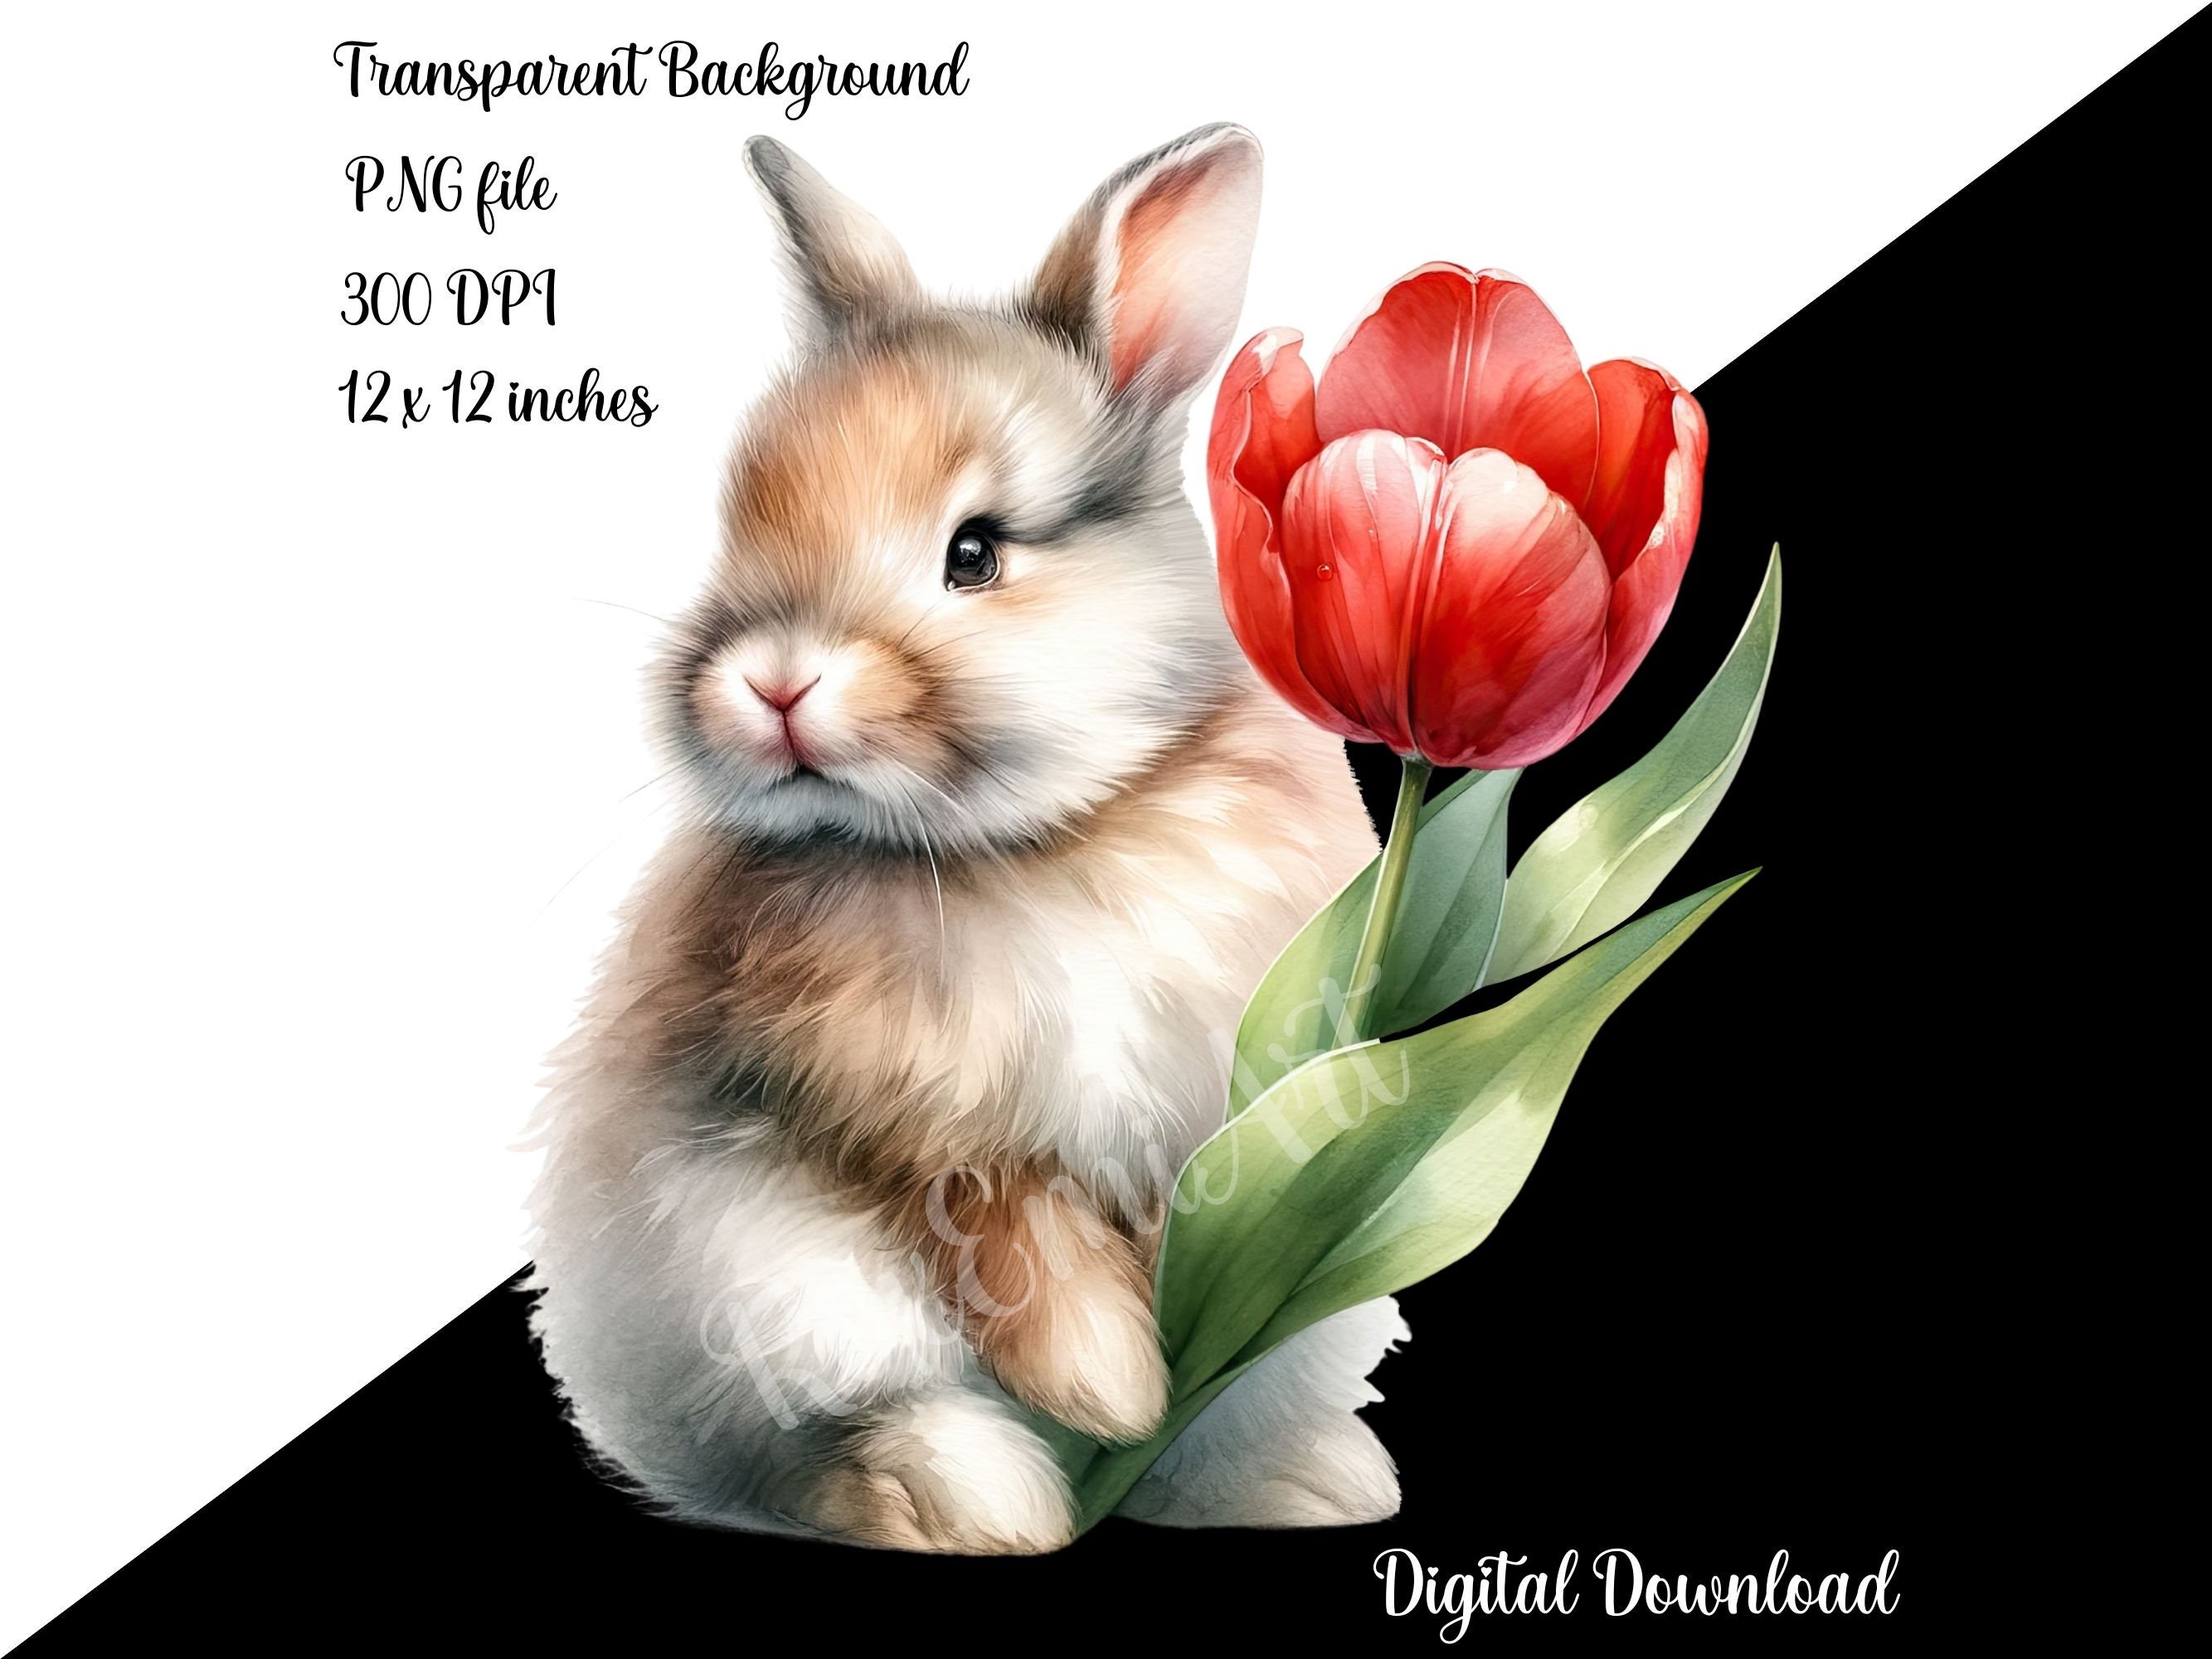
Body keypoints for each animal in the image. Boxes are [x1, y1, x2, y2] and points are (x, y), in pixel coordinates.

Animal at [525, 124, 1407, 1554]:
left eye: (975, 553)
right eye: (741, 520)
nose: (771, 685)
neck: (1041, 839)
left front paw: (1135, 1390)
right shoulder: (900, 1128)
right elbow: (1006, 1237)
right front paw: (1109, 1383)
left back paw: (1307, 1485)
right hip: (750, 1297)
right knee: (809, 1454)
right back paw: (976, 1506)